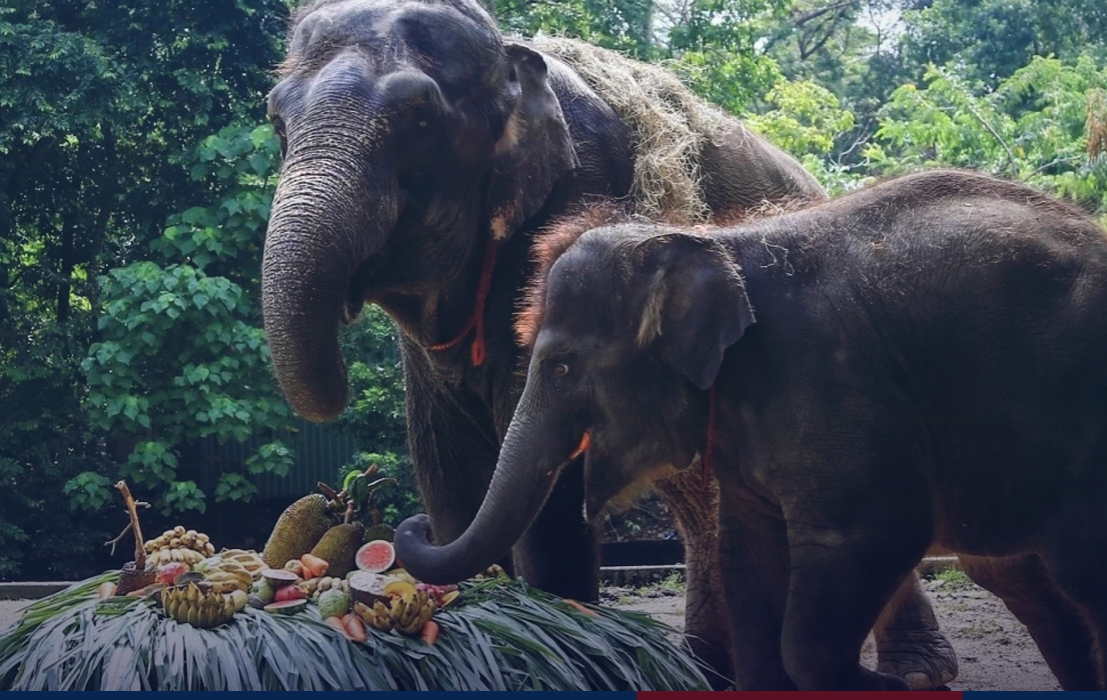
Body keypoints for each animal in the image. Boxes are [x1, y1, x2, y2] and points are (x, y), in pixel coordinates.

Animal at [260, 0, 954, 687]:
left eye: (419, 117)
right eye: (276, 121)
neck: (512, 60)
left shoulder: (584, 192)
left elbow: (548, 479)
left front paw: (561, 646)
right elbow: (447, 463)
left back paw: (918, 672)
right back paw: (710, 670)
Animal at [395, 169, 1107, 691]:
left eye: (563, 366)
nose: (414, 522)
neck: (709, 240)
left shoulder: (826, 380)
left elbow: (875, 534)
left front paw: (895, 688)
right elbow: (750, 553)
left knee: (1075, 567)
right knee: (1023, 580)